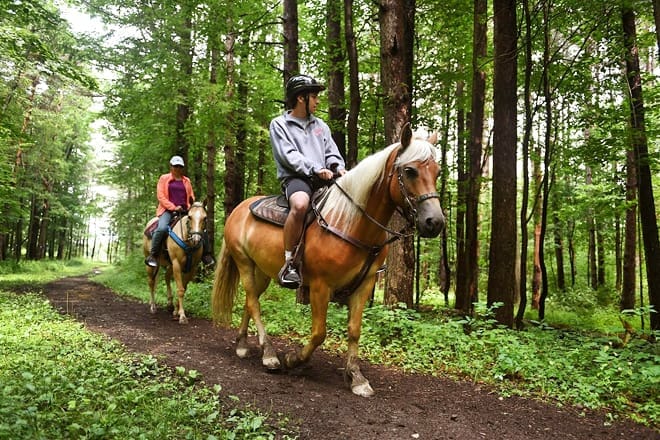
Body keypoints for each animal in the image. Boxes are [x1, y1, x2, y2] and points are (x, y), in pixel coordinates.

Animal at [211, 124, 445, 396]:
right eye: (409, 171)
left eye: (437, 172)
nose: (435, 222)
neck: (352, 222)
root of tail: (238, 210)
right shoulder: (320, 287)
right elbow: (319, 333)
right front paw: (293, 359)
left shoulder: (364, 285)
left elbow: (354, 331)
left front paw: (357, 377)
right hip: (244, 263)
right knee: (253, 303)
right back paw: (269, 355)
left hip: (262, 271)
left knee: (251, 301)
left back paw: (241, 345)